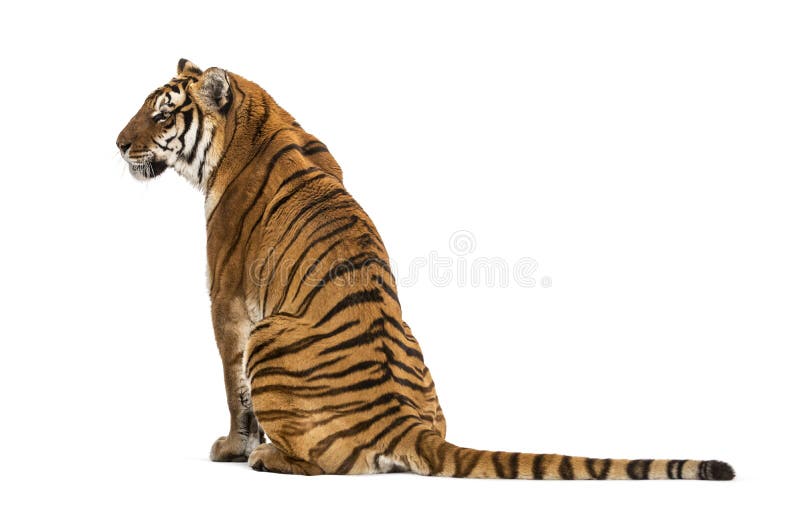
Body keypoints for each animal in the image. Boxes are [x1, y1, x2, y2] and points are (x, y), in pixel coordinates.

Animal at [116, 58, 734, 480]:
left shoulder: (227, 303)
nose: (119, 144)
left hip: (270, 333)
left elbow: (233, 390)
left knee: (322, 463)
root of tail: (402, 420)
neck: (255, 118)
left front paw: (231, 448)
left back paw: (266, 456)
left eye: (162, 113)